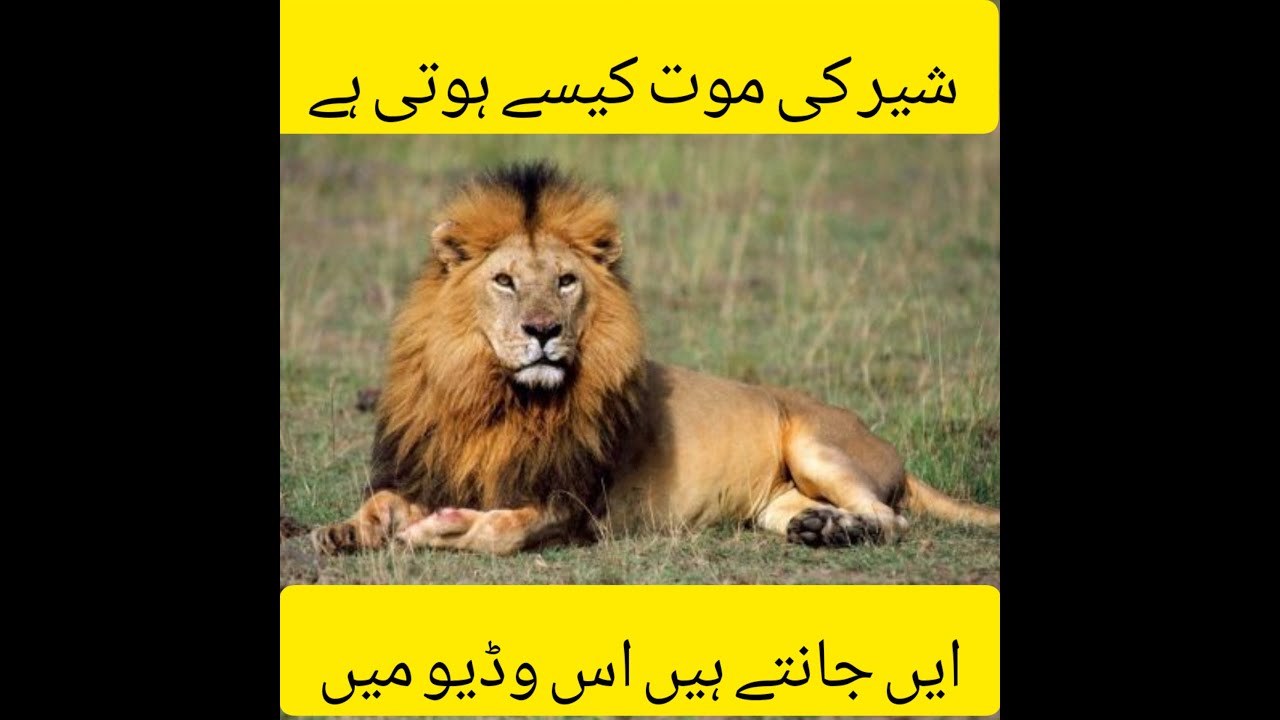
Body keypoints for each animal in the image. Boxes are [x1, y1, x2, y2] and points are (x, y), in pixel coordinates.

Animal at [312, 162, 999, 556]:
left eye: (565, 281)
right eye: (504, 281)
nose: (543, 330)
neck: (497, 398)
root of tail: (886, 446)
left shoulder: (572, 505)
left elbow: (497, 532)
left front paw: (441, 530)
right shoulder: (433, 465)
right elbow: (380, 503)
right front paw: (340, 531)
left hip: (817, 445)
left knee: (892, 517)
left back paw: (846, 531)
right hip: (776, 499)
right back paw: (821, 528)